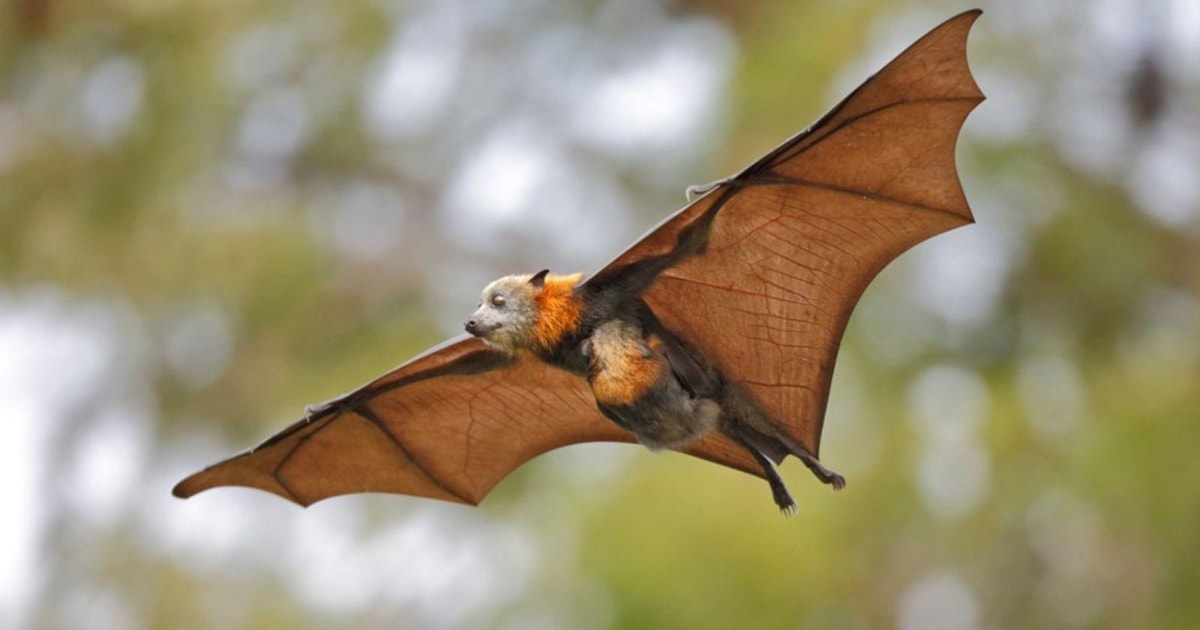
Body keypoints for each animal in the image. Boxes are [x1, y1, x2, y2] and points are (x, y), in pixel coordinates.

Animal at [465, 269, 845, 513]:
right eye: (480, 303)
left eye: (498, 301)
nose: (470, 321)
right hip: (720, 421)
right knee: (748, 441)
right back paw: (781, 486)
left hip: (723, 398)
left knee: (761, 428)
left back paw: (821, 471)